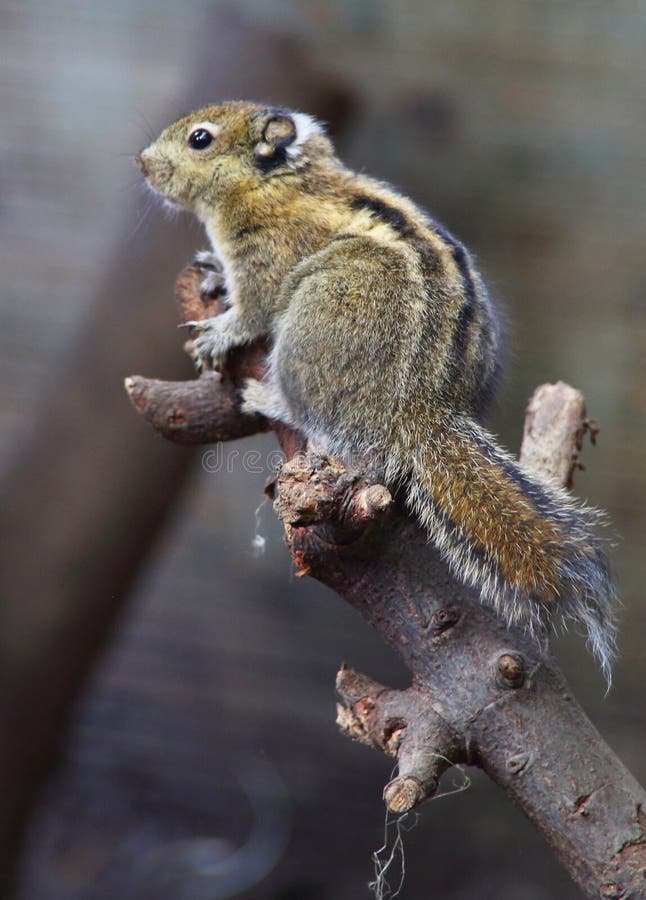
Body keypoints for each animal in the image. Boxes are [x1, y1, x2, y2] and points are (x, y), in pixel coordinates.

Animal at [139, 100, 616, 681]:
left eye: (200, 139)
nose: (142, 163)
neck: (276, 183)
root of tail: (417, 411)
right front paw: (210, 271)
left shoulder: (266, 259)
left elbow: (252, 309)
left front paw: (220, 331)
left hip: (314, 324)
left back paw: (270, 399)